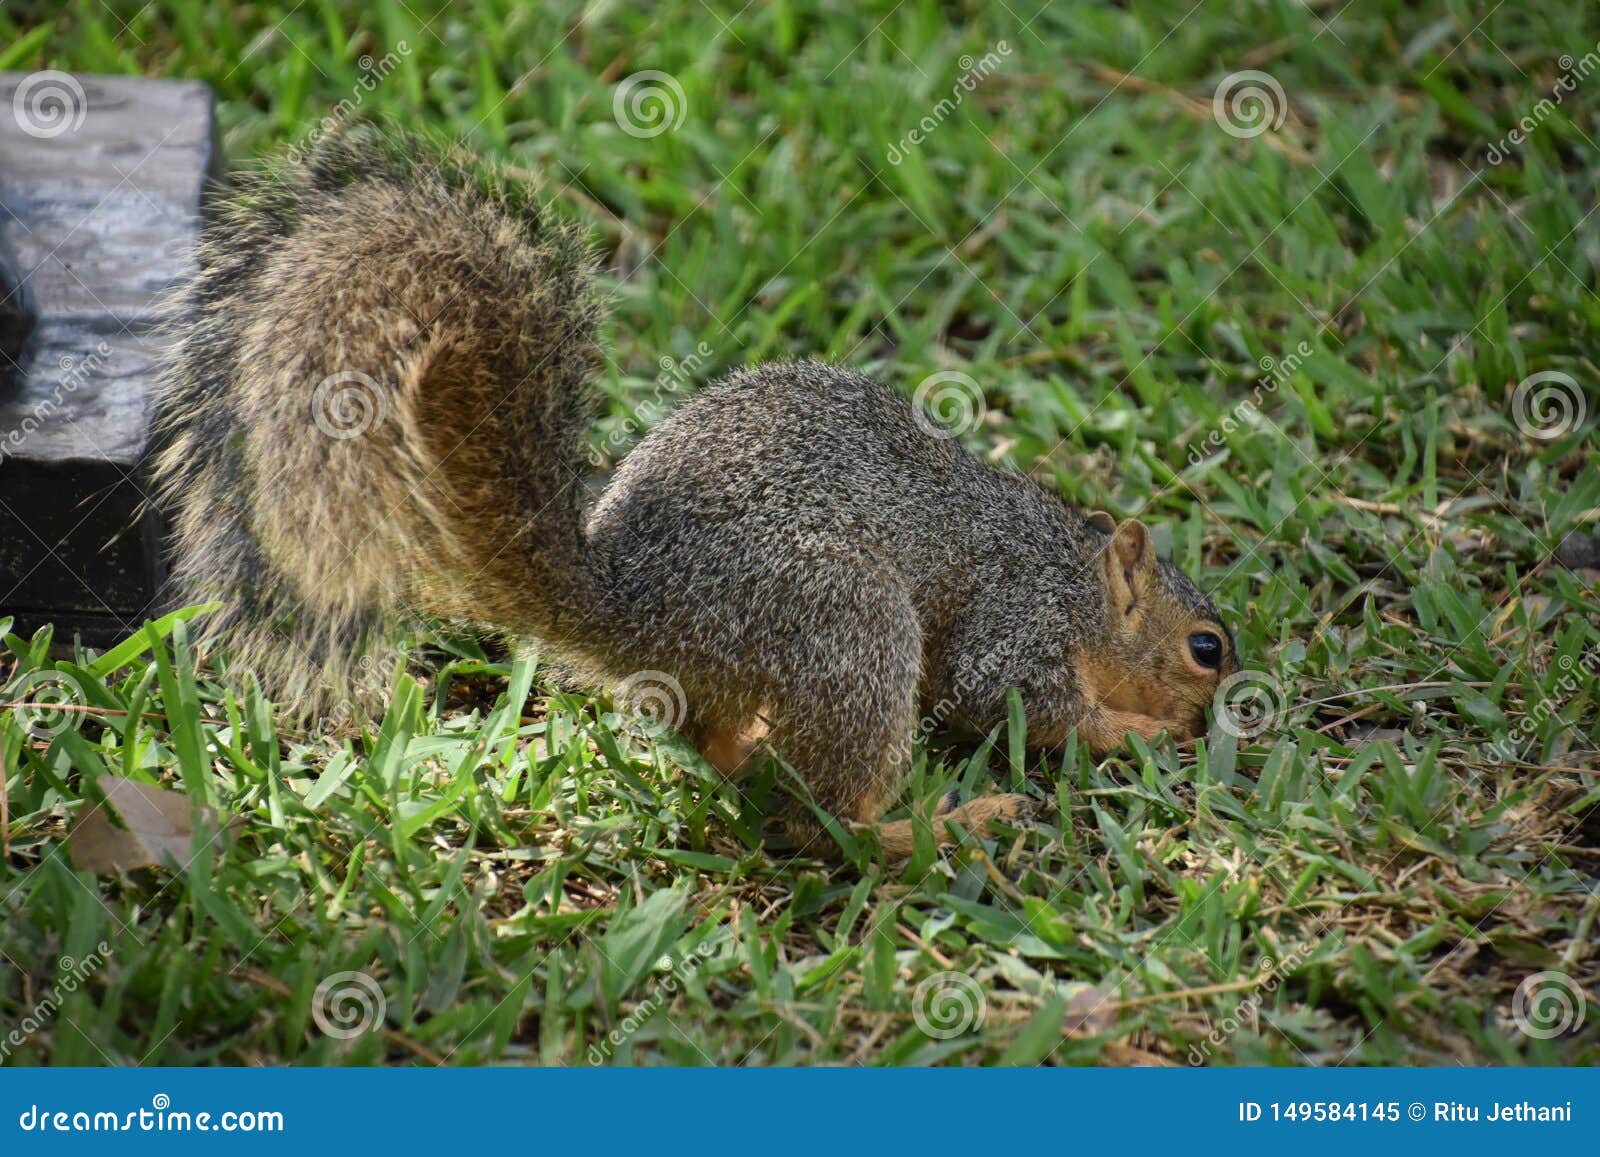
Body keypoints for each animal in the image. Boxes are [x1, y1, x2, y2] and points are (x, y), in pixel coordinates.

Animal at [149, 124, 1239, 859]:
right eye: (1207, 648)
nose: (1221, 714)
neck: (1073, 567)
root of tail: (631, 606)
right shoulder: (1019, 611)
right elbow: (1005, 691)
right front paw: (1140, 732)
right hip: (843, 618)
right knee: (822, 824)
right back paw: (938, 821)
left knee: (713, 742)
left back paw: (757, 750)